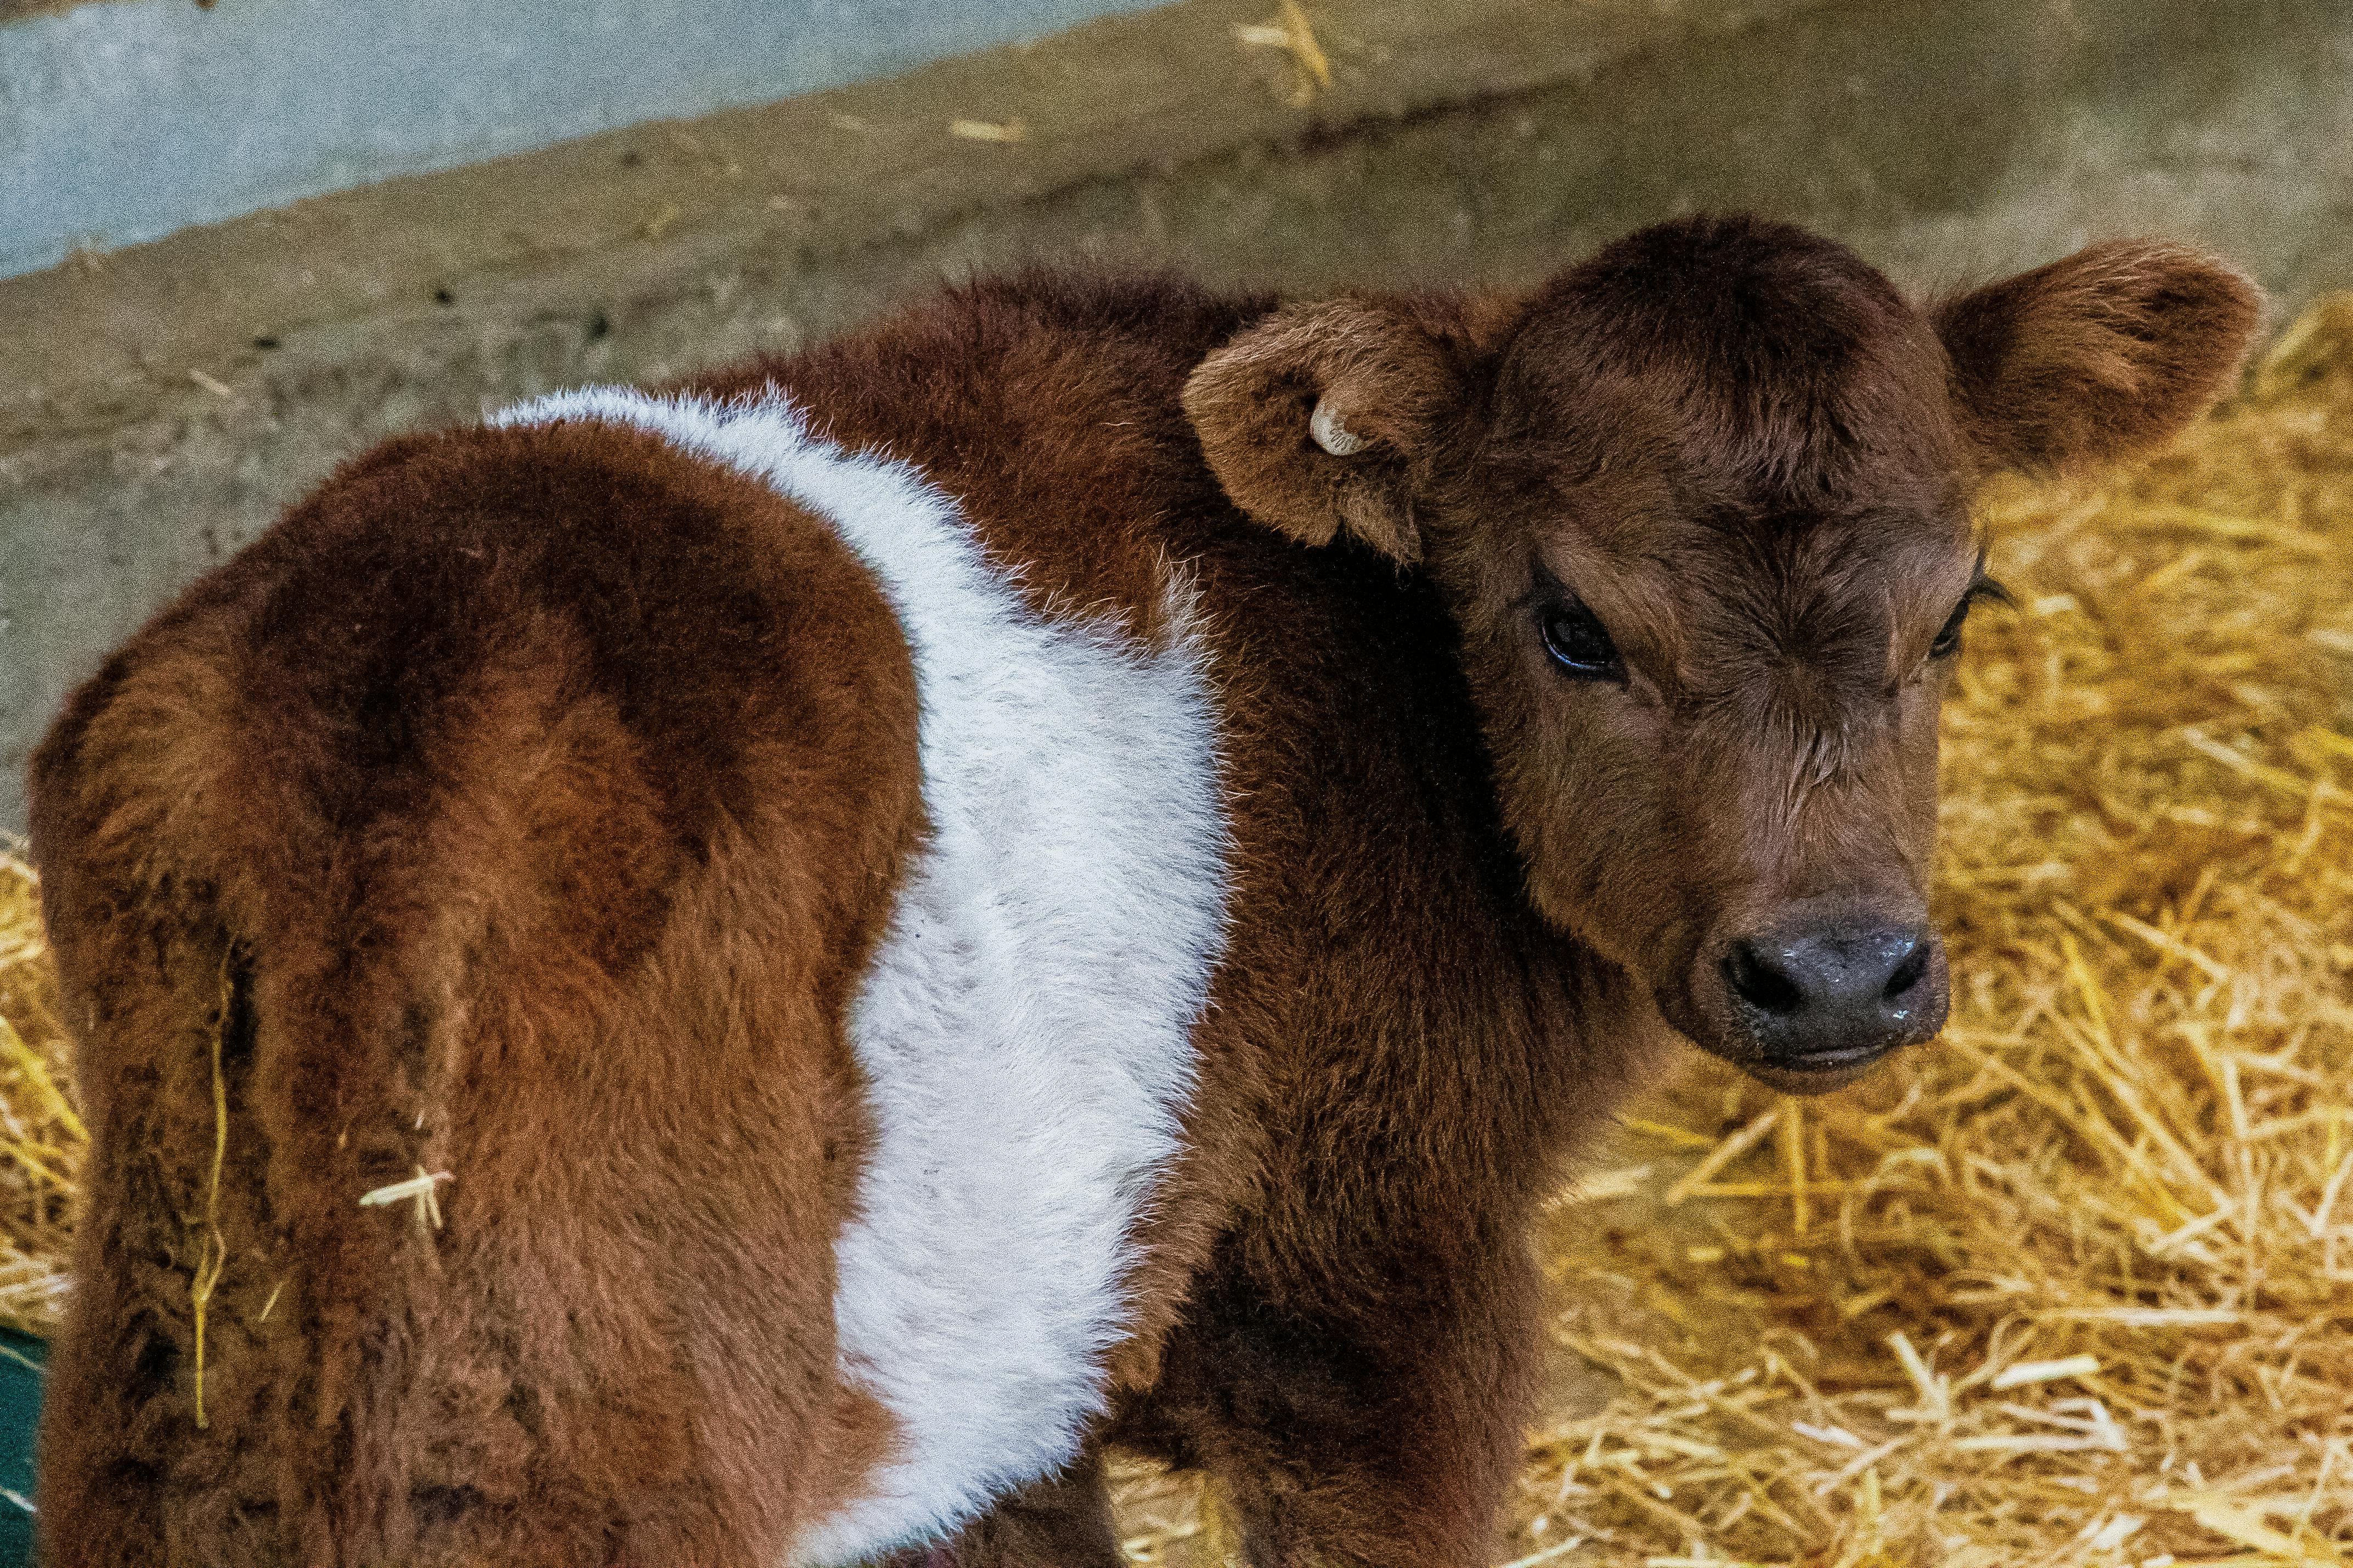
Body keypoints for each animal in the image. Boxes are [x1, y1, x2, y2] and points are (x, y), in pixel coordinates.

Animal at [25, 214, 2257, 1567]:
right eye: (1565, 623)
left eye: (1958, 606)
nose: (1834, 970)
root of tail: (396, 686)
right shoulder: (1385, 1275)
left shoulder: (1011, 1381)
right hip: (576, 1415)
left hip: (171, 1369)